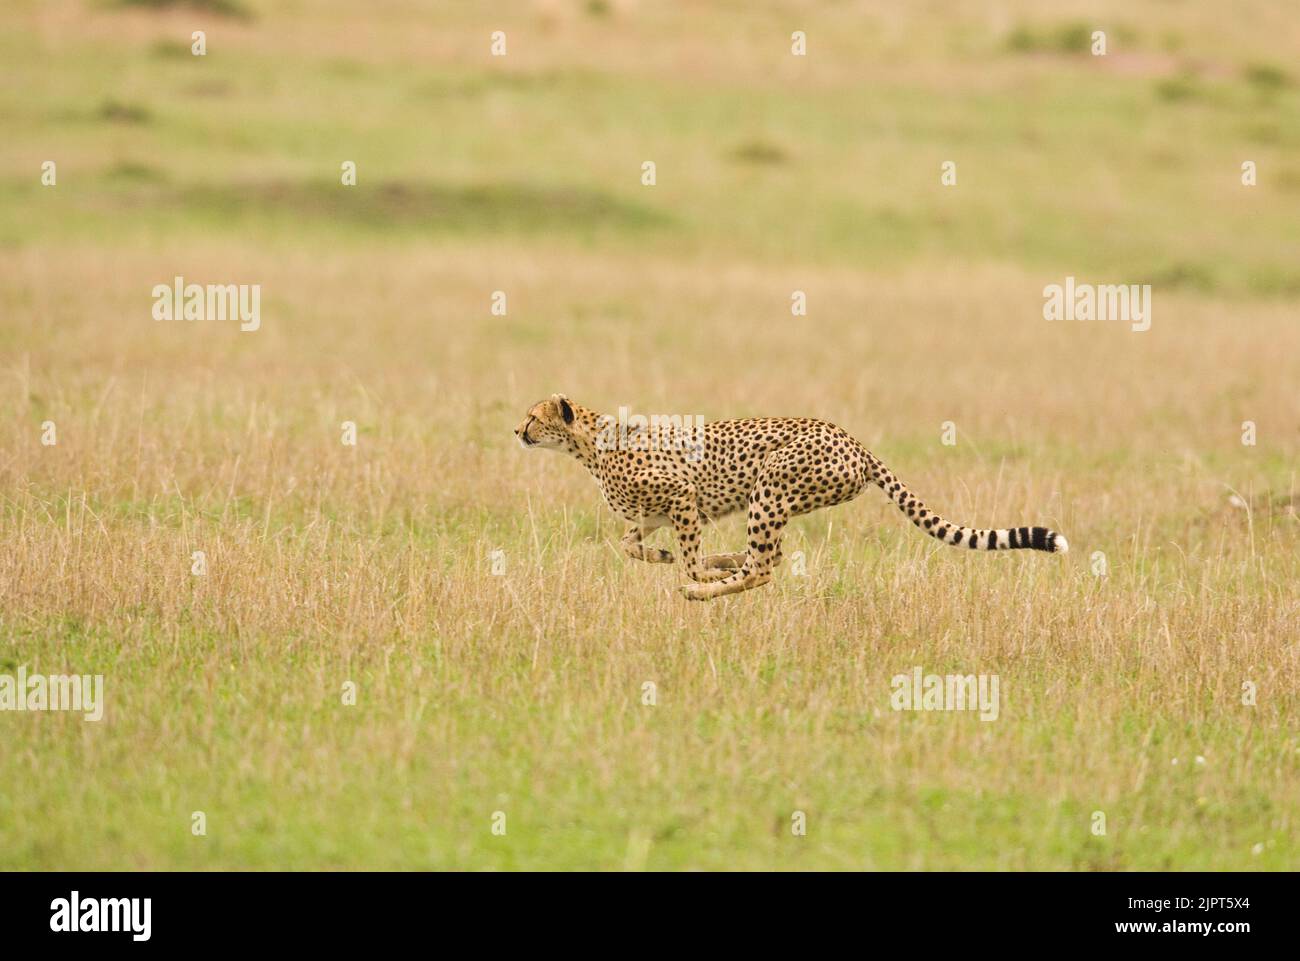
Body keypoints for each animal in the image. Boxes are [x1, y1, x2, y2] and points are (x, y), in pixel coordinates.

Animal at [516, 394, 1068, 601]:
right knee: (769, 557)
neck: (588, 444)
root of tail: (854, 441)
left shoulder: (683, 494)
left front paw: (700, 573)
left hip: (771, 485)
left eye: (534, 416)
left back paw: (704, 592)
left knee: (765, 565)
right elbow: (630, 544)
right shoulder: (656, 513)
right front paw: (668, 556)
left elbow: (690, 558)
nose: (517, 431)